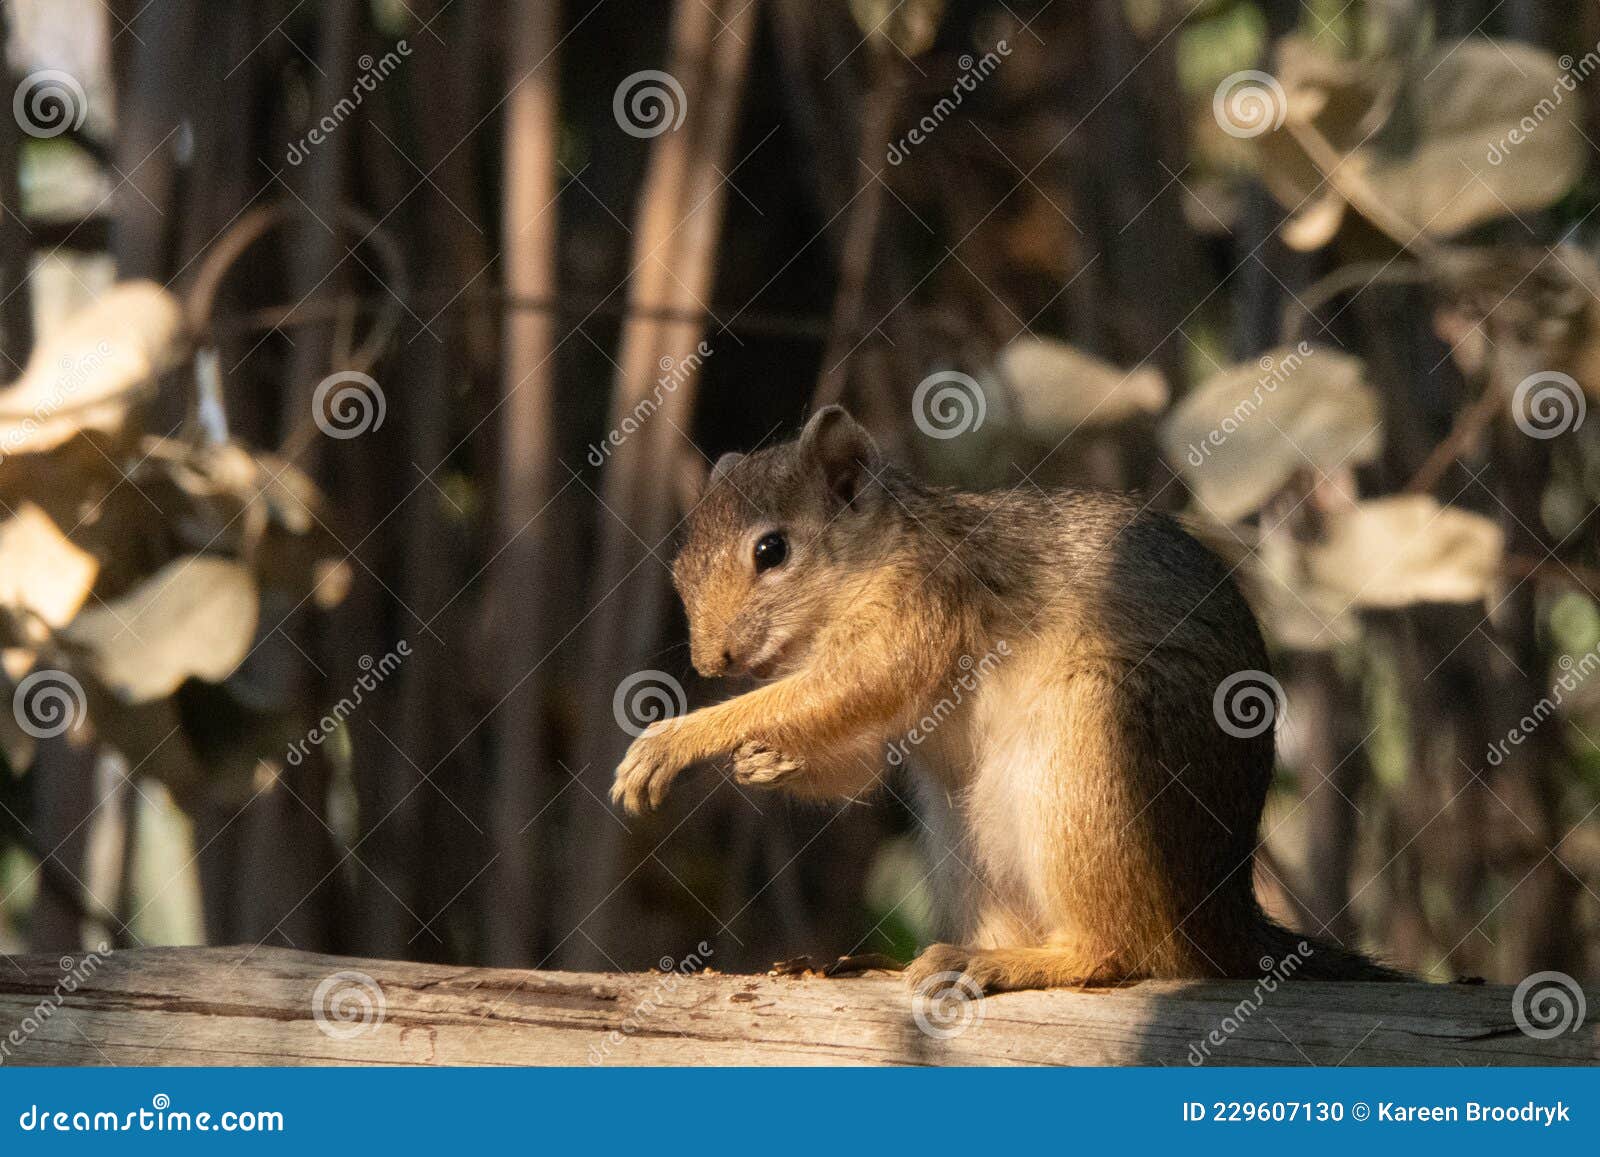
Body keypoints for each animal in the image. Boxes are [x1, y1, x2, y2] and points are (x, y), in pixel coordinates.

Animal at [611, 405, 1404, 992]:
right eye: (679, 563)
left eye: (771, 550)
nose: (710, 659)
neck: (879, 552)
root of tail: (1222, 913)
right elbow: (857, 761)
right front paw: (765, 762)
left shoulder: (925, 606)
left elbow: (857, 683)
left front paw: (678, 740)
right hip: (966, 832)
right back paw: (896, 961)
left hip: (1090, 757)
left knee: (1131, 953)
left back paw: (1003, 962)